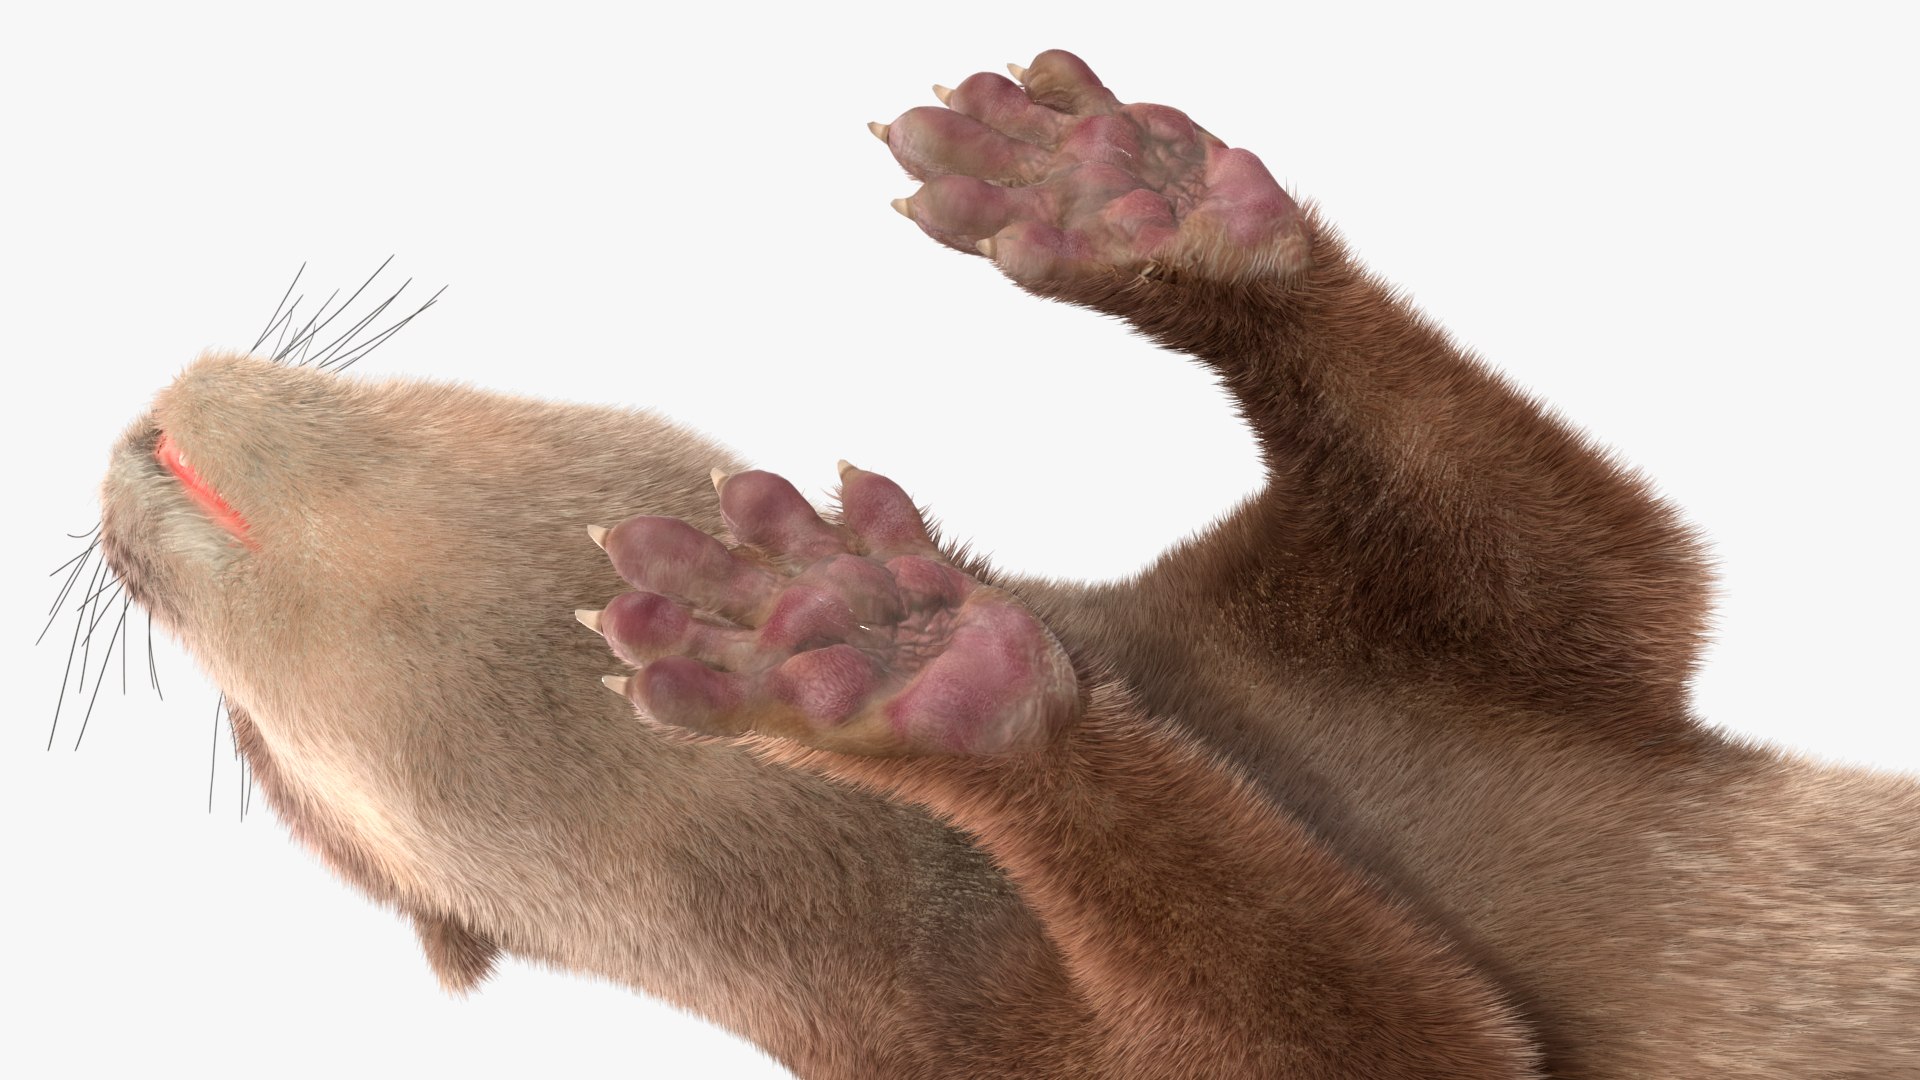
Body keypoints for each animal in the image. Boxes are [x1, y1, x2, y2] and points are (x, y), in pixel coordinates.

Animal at [84, 50, 1918, 1078]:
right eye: (254, 755)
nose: (109, 466)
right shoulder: (992, 1055)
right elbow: (1400, 1044)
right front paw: (897, 676)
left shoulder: (1351, 647)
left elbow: (1588, 558)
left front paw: (1133, 203)